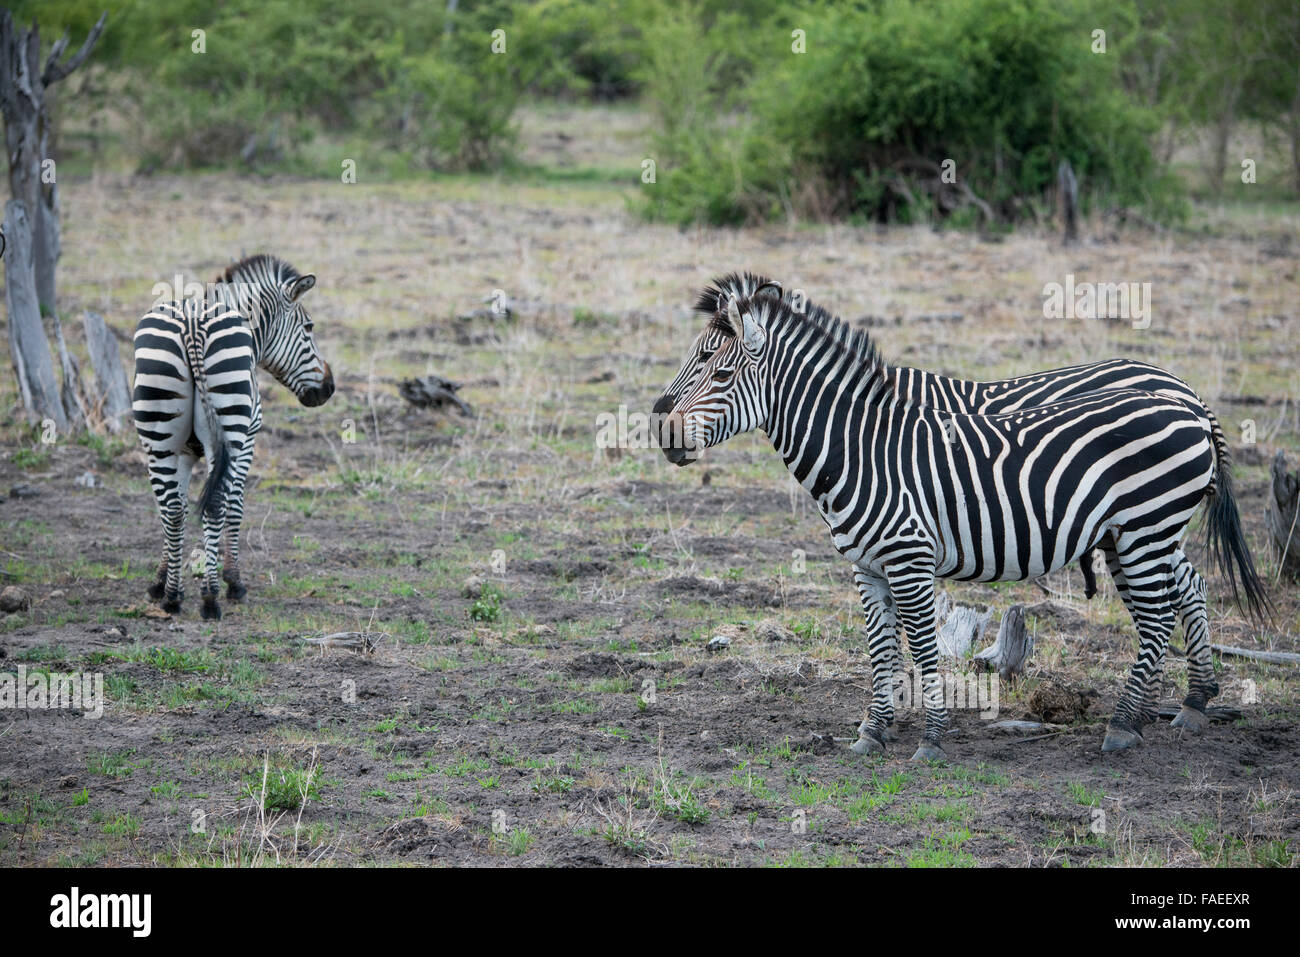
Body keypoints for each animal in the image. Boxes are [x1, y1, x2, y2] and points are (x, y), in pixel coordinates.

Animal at [132, 254, 334, 620]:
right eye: (309, 328)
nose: (330, 388)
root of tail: (193, 324)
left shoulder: (184, 452)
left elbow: (177, 508)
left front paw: (161, 582)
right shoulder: (248, 439)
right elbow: (235, 505)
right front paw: (233, 581)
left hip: (157, 437)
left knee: (169, 507)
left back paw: (172, 598)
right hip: (228, 428)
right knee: (215, 504)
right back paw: (210, 597)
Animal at [653, 284, 1269, 758]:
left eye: (720, 372)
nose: (662, 431)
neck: (861, 450)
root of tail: (1189, 402)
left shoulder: (909, 558)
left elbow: (924, 647)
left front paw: (931, 737)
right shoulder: (868, 568)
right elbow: (881, 648)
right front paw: (874, 731)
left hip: (1147, 529)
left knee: (1161, 616)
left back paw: (1125, 725)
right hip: (1131, 535)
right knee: (1176, 598)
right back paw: (1168, 710)